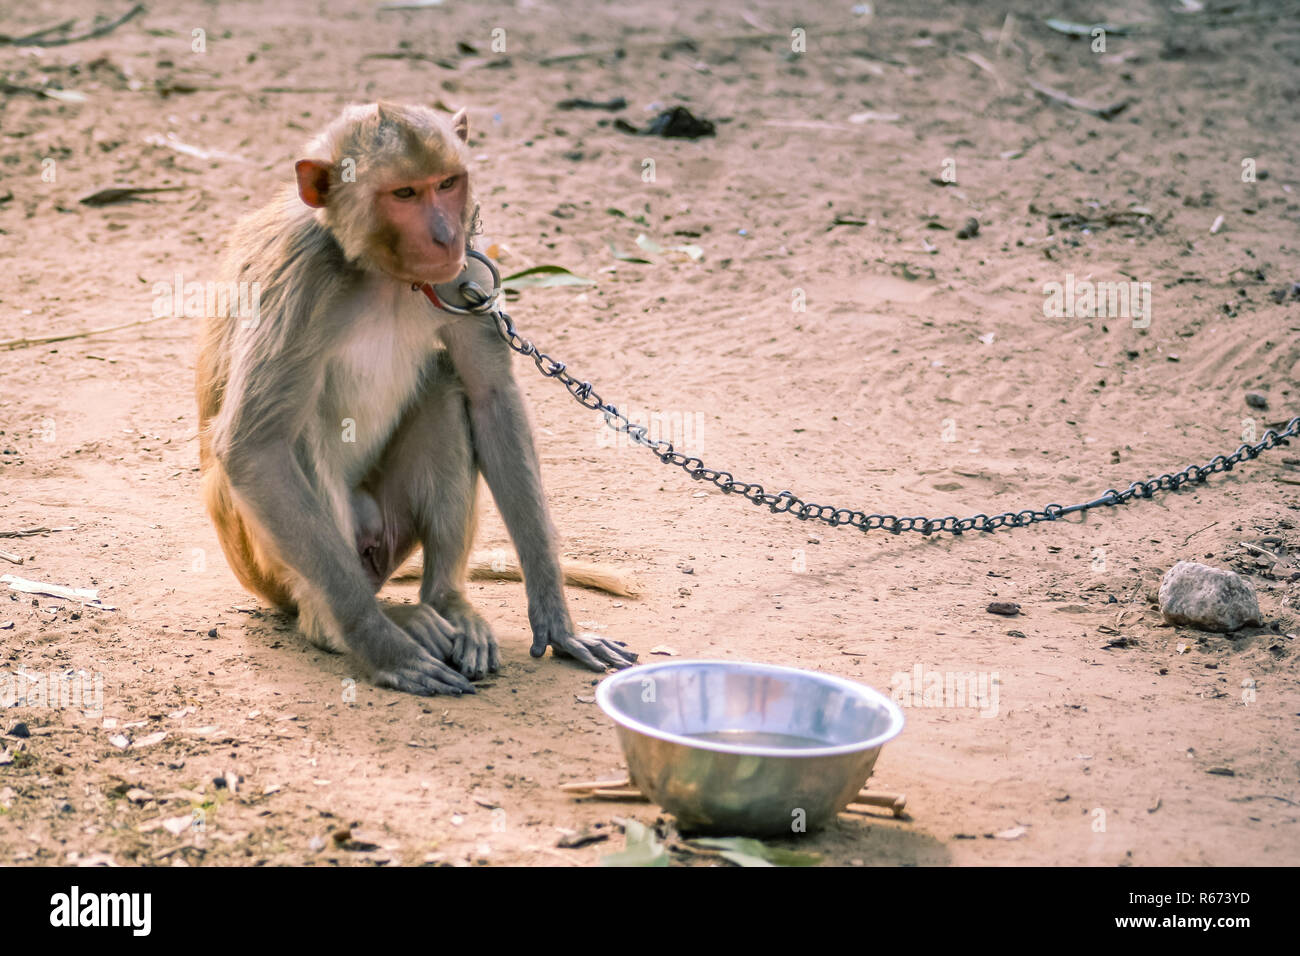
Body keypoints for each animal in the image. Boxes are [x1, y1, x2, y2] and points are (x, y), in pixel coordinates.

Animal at [196, 102, 636, 696]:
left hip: (388, 532)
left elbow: (490, 397)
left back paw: (447, 604)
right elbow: (254, 447)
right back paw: (352, 624)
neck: (381, 274)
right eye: (403, 194)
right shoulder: (300, 276)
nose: (446, 236)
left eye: (446, 184)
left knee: (448, 389)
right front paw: (381, 645)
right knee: (297, 431)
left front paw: (557, 620)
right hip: (275, 568)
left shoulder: (465, 273)